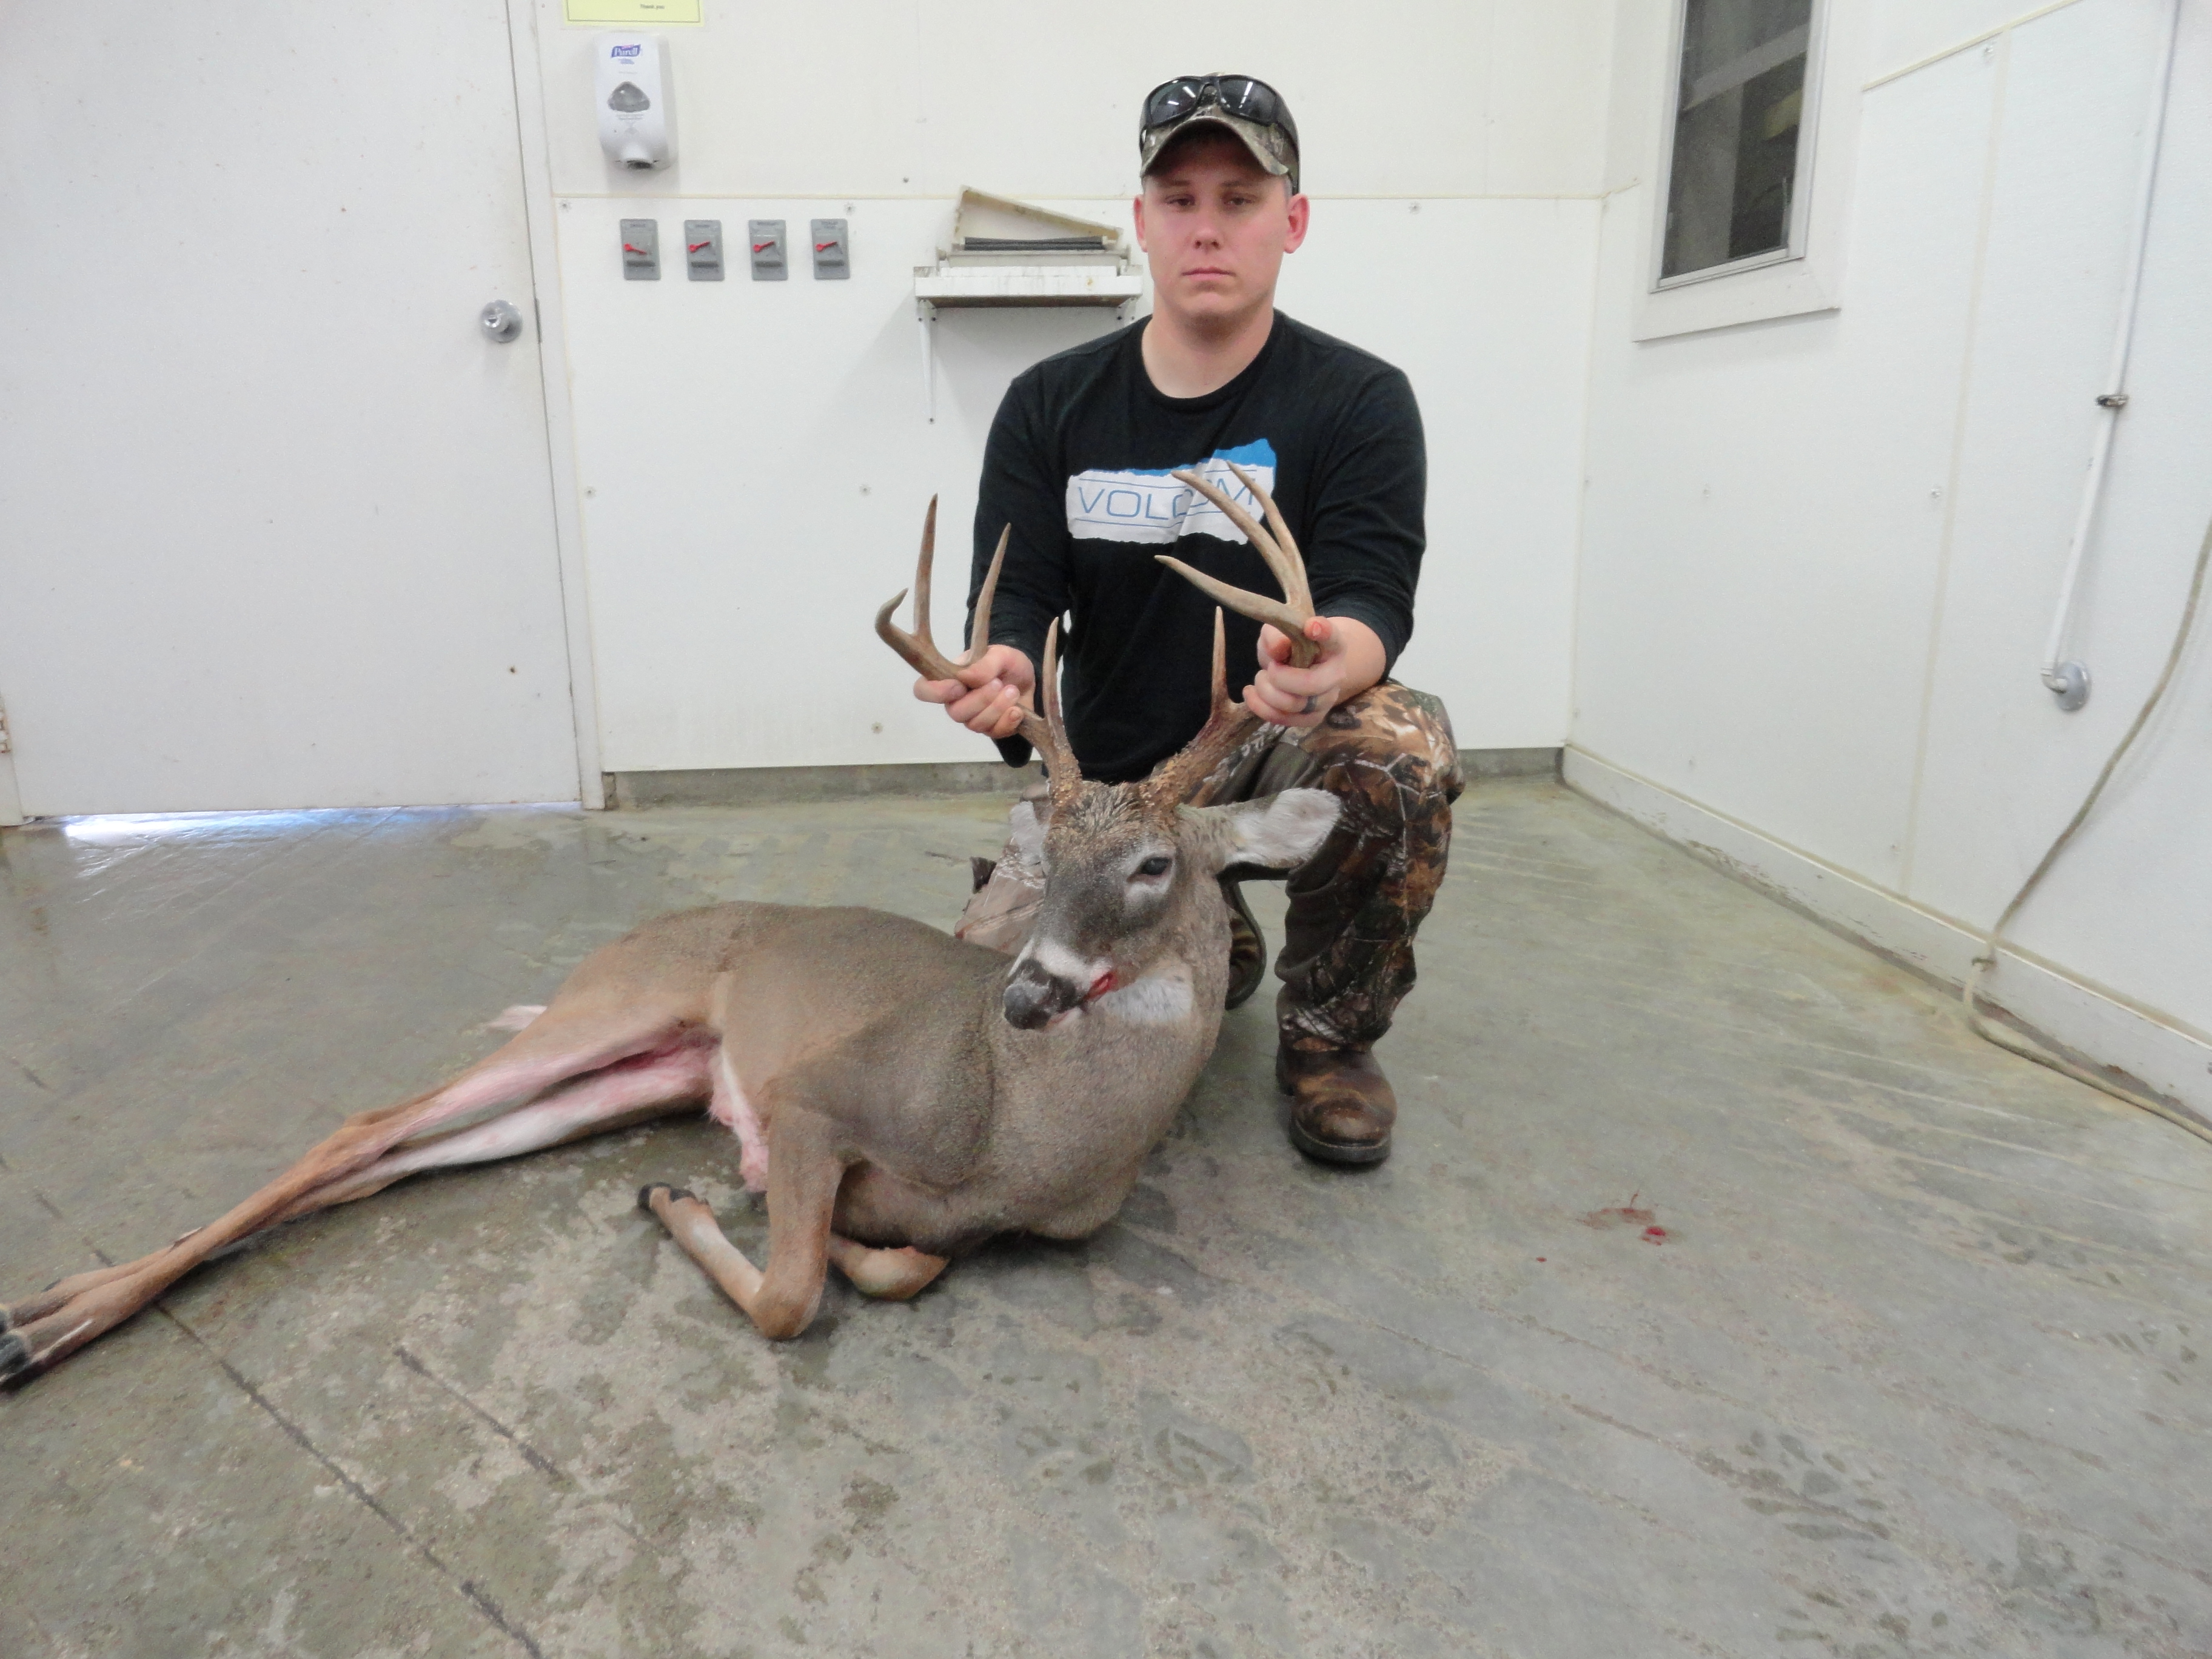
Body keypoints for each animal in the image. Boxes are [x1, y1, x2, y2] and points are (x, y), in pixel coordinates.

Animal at [0, 466, 1334, 1385]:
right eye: (1044, 859)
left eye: (1154, 862)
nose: (1021, 994)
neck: (1022, 1134)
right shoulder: (814, 1094)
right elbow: (795, 1294)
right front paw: (713, 1208)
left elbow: (901, 1263)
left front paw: (734, 1204)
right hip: (620, 1003)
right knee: (366, 1124)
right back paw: (42, 1328)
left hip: (643, 1072)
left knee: (392, 1160)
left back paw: (52, 1311)